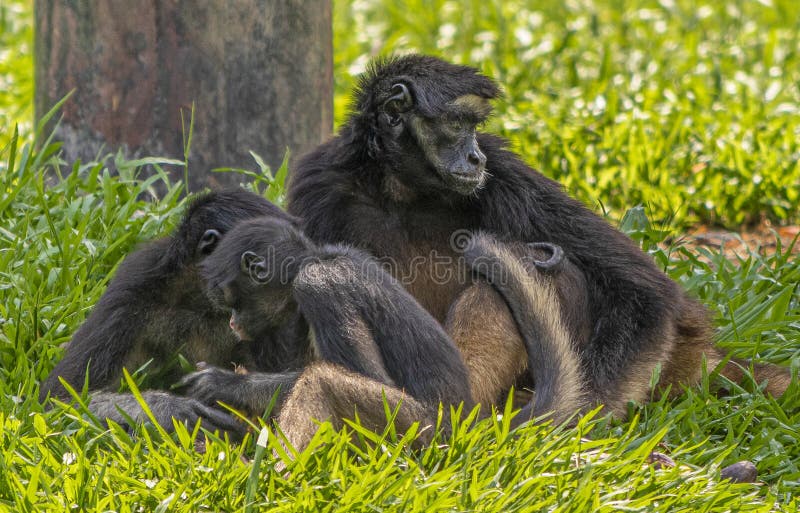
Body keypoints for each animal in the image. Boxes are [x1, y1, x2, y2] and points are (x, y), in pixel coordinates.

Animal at [193, 216, 474, 452]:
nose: (232, 322)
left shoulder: (317, 284)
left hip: (417, 428)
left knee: (318, 381)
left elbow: (370, 377)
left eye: (230, 300)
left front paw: (224, 384)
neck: (319, 259)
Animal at [286, 54, 792, 423]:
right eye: (457, 124)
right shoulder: (320, 182)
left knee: (539, 276)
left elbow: (646, 290)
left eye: (475, 129)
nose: (473, 156)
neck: (402, 192)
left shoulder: (500, 170)